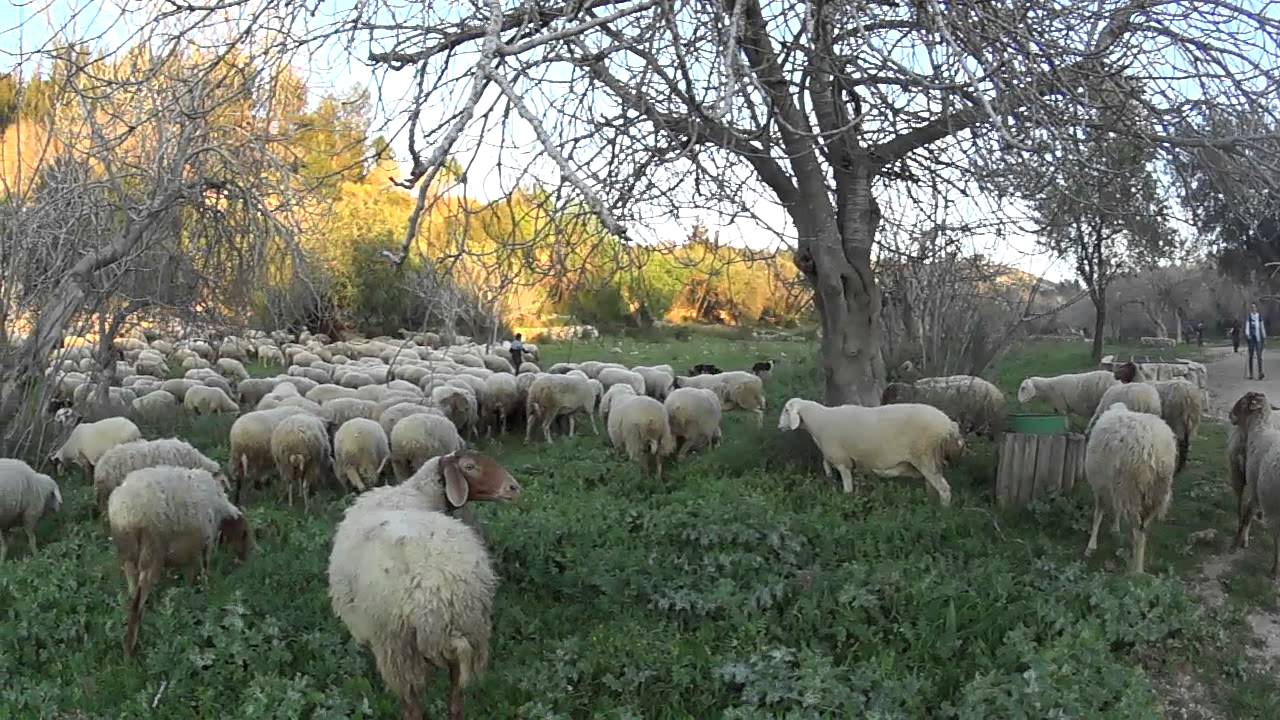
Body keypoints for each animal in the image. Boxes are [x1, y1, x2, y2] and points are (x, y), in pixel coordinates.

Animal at [108, 466, 251, 656]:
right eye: (244, 536)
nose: (245, 561)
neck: (221, 508)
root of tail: (125, 513)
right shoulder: (205, 541)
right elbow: (203, 568)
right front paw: (204, 590)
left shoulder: (192, 547)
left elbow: (190, 570)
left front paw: (189, 591)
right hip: (152, 550)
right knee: (137, 602)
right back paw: (131, 648)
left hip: (128, 554)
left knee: (132, 591)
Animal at [778, 398, 963, 505]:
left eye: (786, 411)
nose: (779, 427)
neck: (818, 421)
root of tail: (949, 424)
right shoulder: (845, 458)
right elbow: (828, 466)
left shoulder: (842, 460)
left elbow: (847, 487)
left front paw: (846, 501)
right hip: (932, 460)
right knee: (932, 486)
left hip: (926, 456)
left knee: (944, 489)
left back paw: (942, 513)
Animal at [1083, 402, 1177, 574]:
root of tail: (1153, 449)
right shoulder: (1115, 487)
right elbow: (1115, 510)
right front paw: (1115, 529)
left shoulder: (1102, 486)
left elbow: (1098, 514)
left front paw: (1091, 546)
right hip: (1156, 494)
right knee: (1143, 529)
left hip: (1132, 490)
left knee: (1138, 532)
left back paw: (1136, 570)